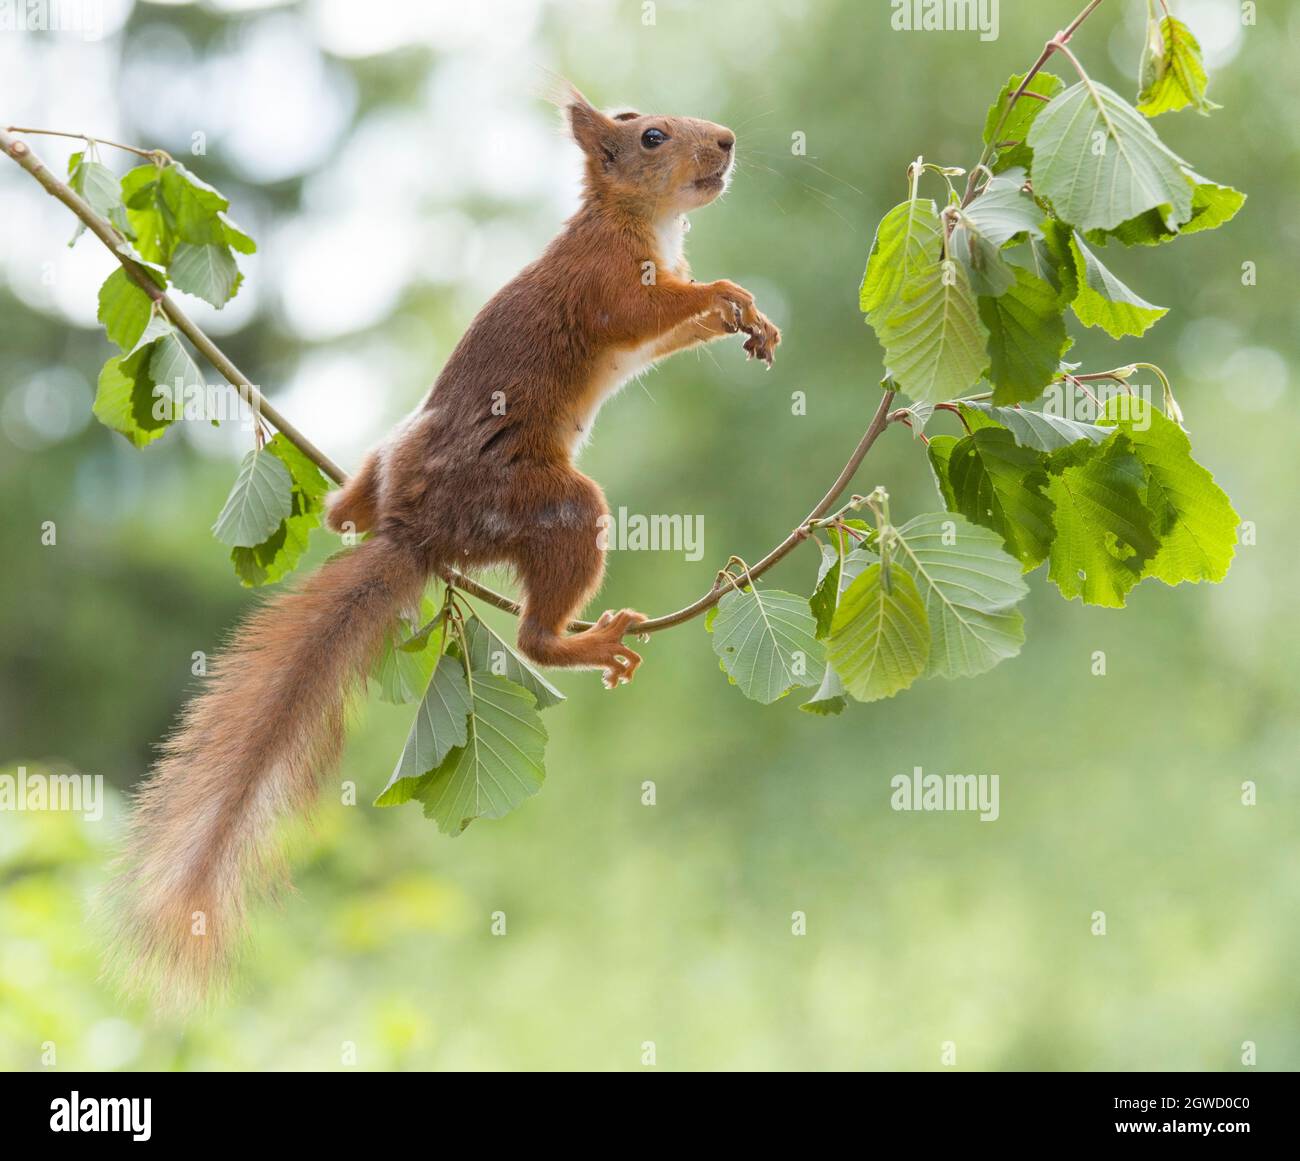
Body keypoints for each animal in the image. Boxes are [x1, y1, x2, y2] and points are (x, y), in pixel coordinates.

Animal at [106, 85, 780, 1002]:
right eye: (651, 135)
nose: (729, 141)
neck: (638, 221)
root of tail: (417, 532)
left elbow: (675, 329)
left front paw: (747, 319)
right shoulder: (607, 280)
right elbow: (646, 312)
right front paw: (727, 291)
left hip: (395, 457)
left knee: (352, 511)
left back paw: (349, 509)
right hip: (549, 506)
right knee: (535, 631)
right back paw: (584, 639)